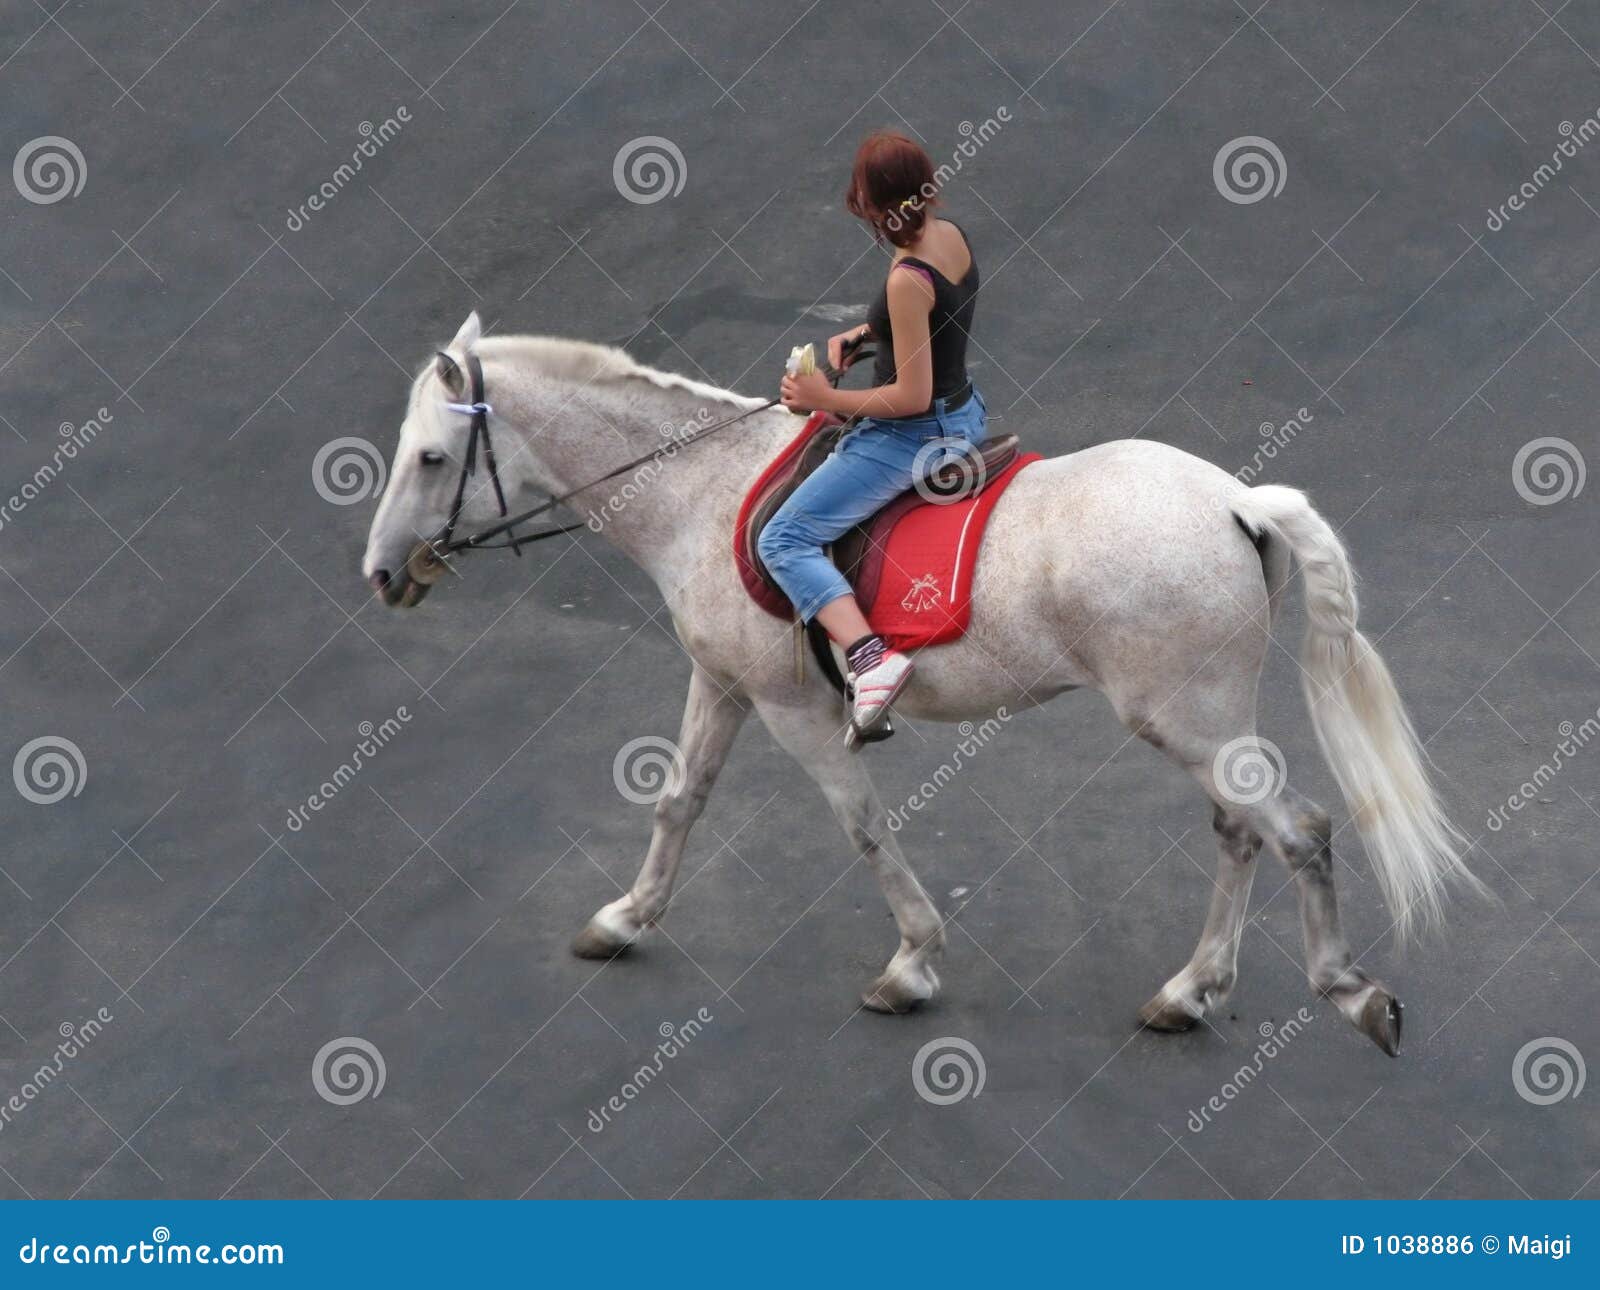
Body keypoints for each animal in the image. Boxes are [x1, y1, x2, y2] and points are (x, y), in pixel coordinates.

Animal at [361, 312, 1486, 1056]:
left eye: (430, 459)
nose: (382, 575)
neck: (700, 489)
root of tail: (1237, 504)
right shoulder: (719, 683)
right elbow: (680, 800)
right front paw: (625, 919)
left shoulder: (794, 713)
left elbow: (862, 827)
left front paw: (911, 966)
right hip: (1204, 727)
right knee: (1243, 831)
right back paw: (1191, 990)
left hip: (1186, 721)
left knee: (1296, 830)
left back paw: (1347, 992)